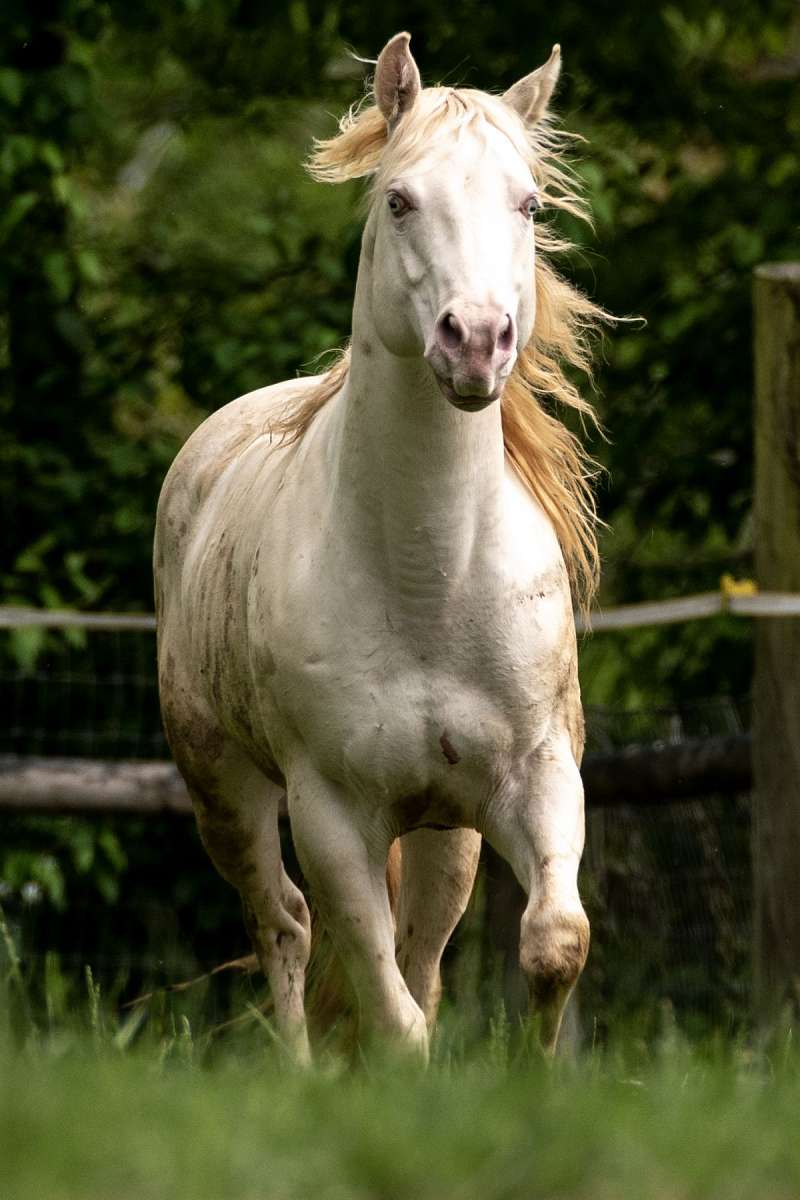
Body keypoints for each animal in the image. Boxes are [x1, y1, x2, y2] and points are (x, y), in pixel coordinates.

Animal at [154, 32, 608, 1064]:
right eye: (400, 200)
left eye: (528, 204)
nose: (476, 341)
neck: (427, 577)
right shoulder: (332, 814)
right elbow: (389, 1009)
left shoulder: (534, 776)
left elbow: (553, 941)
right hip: (224, 789)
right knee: (283, 924)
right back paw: (298, 1072)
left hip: (446, 832)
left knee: (420, 947)